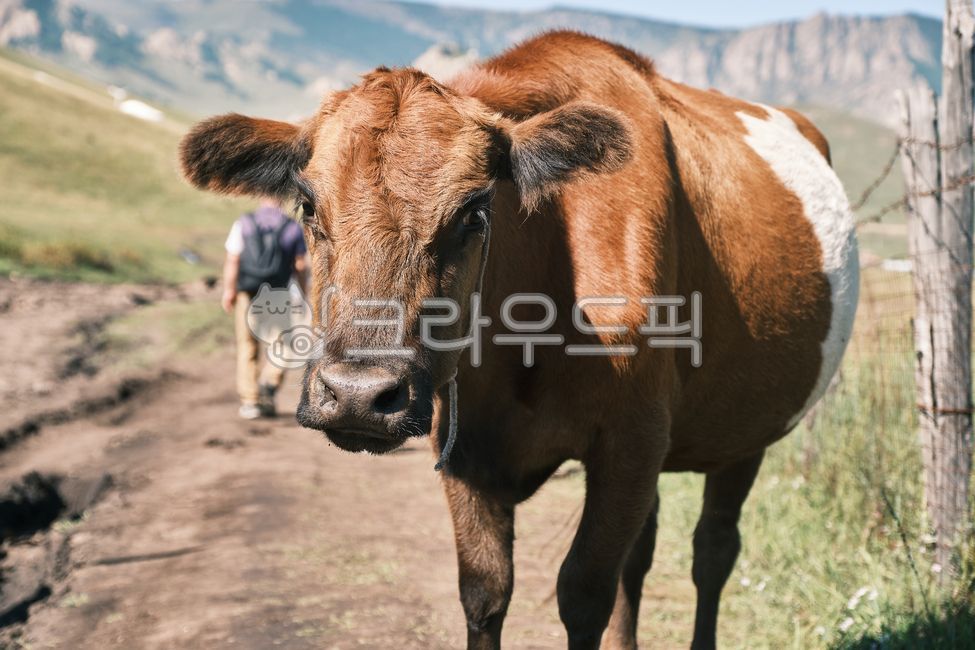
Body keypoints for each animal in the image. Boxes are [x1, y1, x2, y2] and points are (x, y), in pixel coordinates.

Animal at [179, 30, 858, 650]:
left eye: (475, 211)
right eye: (306, 204)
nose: (357, 396)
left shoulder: (632, 439)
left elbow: (584, 593)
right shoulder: (466, 447)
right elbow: (484, 591)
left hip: (748, 429)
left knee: (712, 551)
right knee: (642, 559)